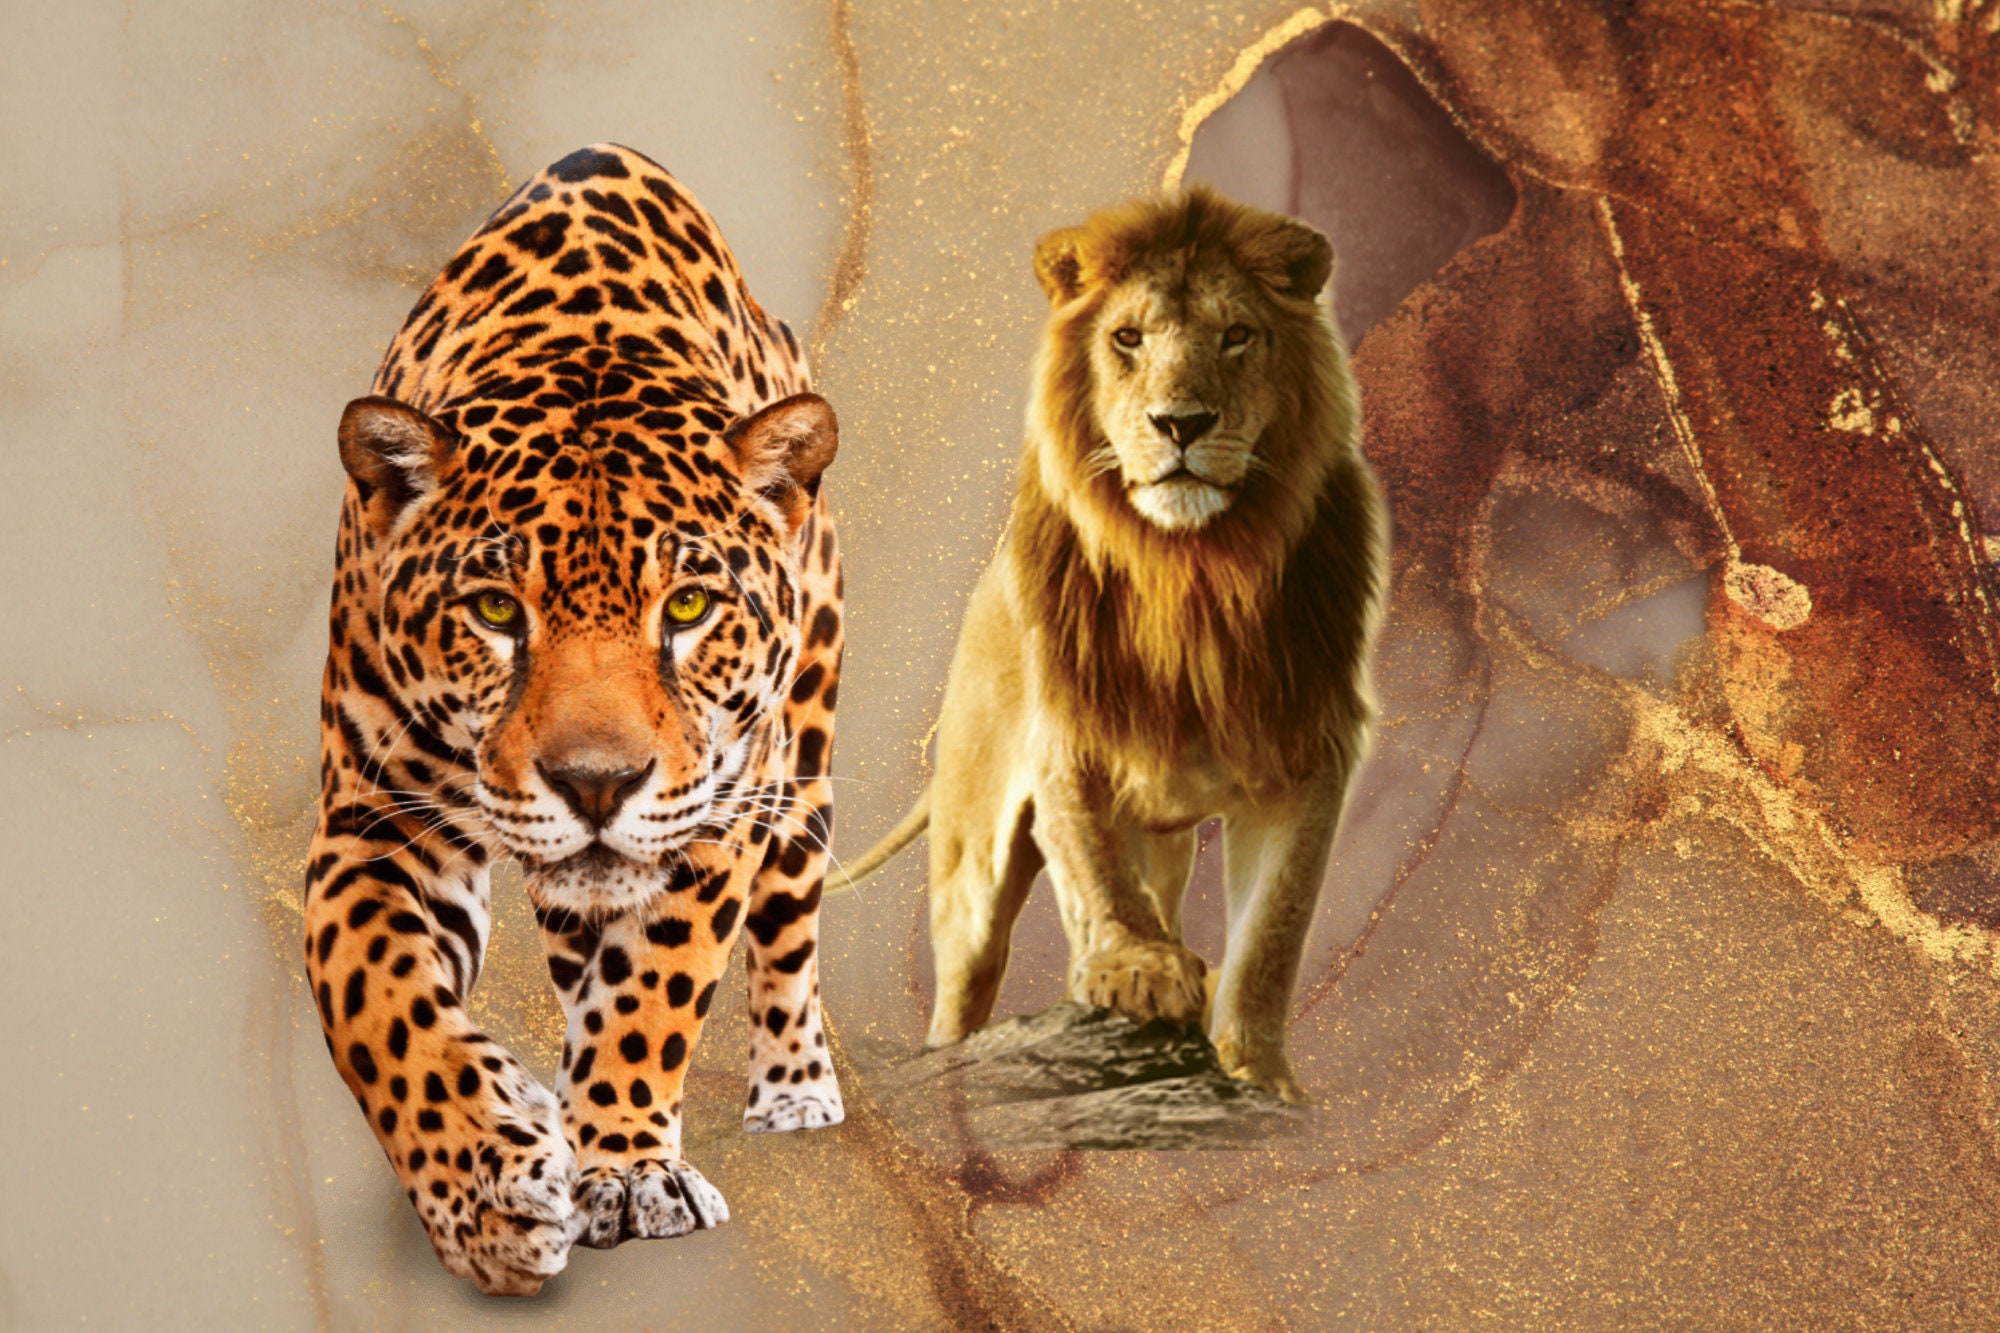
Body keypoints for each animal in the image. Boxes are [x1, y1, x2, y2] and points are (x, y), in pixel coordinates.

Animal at [840, 187, 1386, 1102]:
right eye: (1127, 338)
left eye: (1238, 335)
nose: (1181, 423)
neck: (1189, 575)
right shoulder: (1068, 732)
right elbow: (1092, 871)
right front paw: (1135, 970)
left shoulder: (1307, 746)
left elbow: (1273, 931)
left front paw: (1259, 1067)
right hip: (970, 864)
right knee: (964, 981)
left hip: (1163, 840)